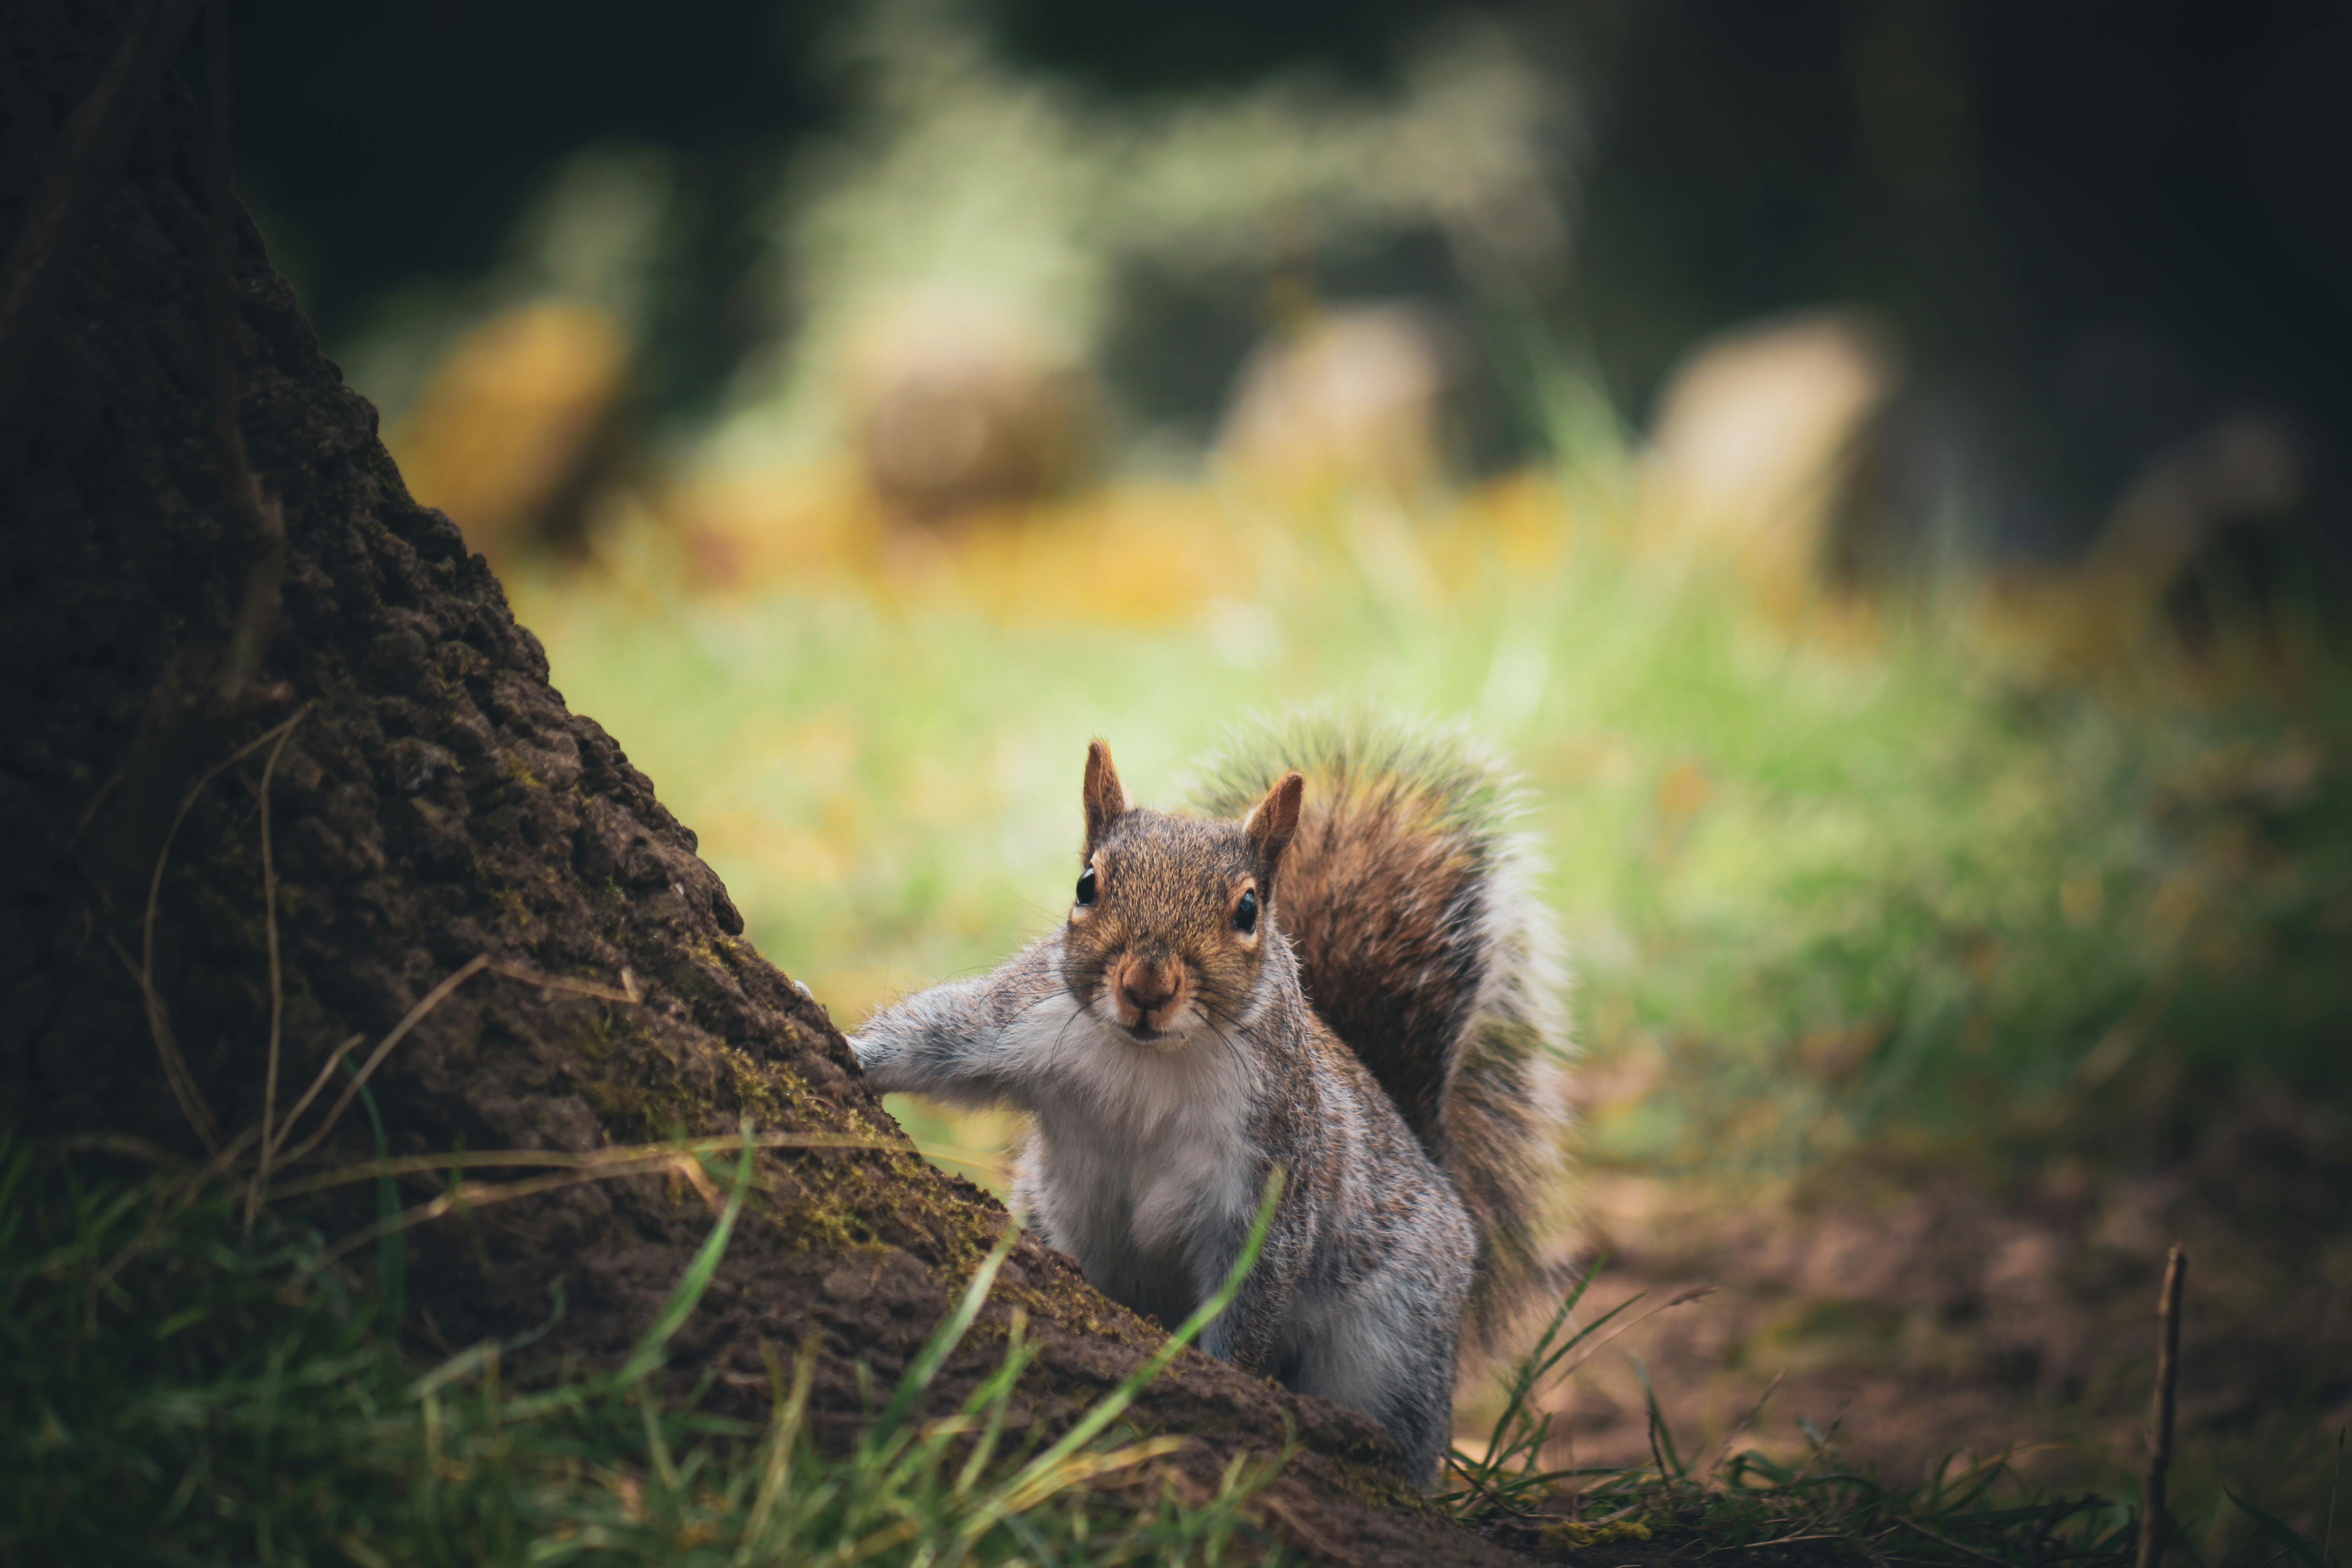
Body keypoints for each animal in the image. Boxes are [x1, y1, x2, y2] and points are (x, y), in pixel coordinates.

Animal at [850, 713, 1574, 1486]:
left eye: (1248, 909)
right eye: (1086, 885)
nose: (1147, 986)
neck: (1149, 1058)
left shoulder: (1272, 1162)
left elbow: (1250, 1283)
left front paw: (1225, 1377)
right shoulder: (1019, 1017)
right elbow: (935, 1040)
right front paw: (849, 1050)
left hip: (1398, 1331)